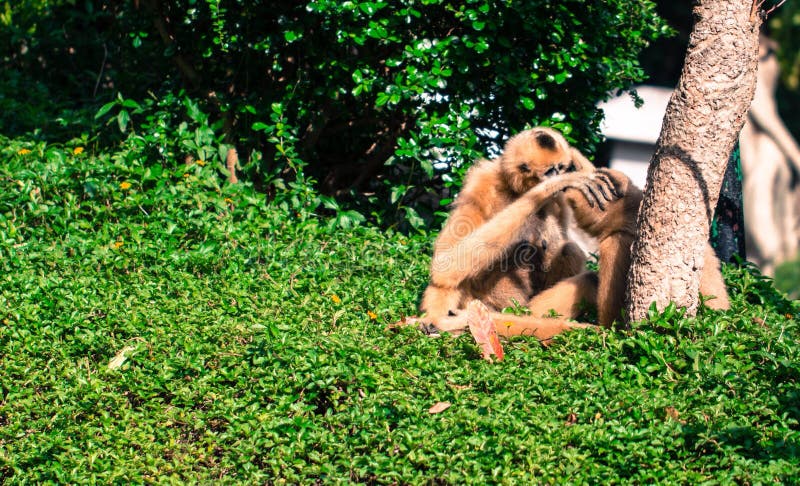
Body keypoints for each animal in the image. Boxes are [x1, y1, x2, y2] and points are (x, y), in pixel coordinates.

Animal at [417, 127, 620, 340]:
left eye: (561, 167)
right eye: (550, 171)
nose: (558, 174)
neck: (514, 188)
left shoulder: (560, 201)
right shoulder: (480, 182)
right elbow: (447, 260)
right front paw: (549, 186)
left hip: (529, 308)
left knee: (572, 253)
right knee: (448, 275)